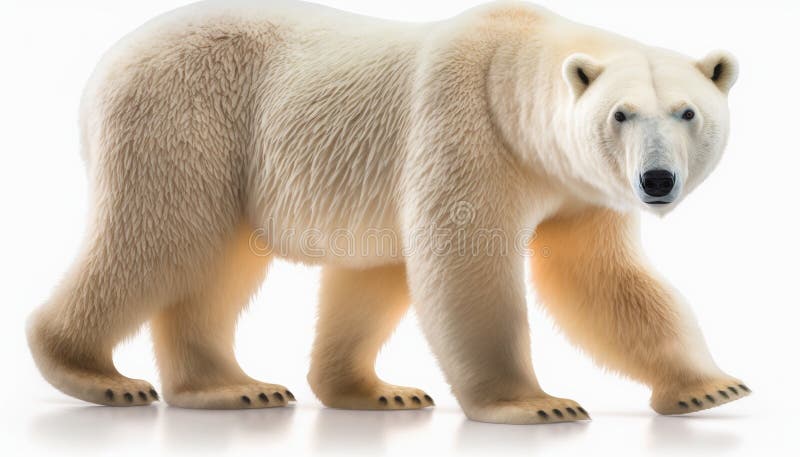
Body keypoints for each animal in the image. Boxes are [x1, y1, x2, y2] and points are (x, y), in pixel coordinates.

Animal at [26, 0, 749, 424]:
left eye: (687, 111)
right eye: (621, 113)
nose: (657, 180)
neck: (509, 78)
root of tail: (104, 65)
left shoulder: (578, 189)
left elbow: (603, 280)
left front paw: (709, 387)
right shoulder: (469, 131)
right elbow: (466, 266)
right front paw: (534, 402)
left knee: (216, 268)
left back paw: (237, 386)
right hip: (183, 114)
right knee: (160, 239)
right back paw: (96, 373)